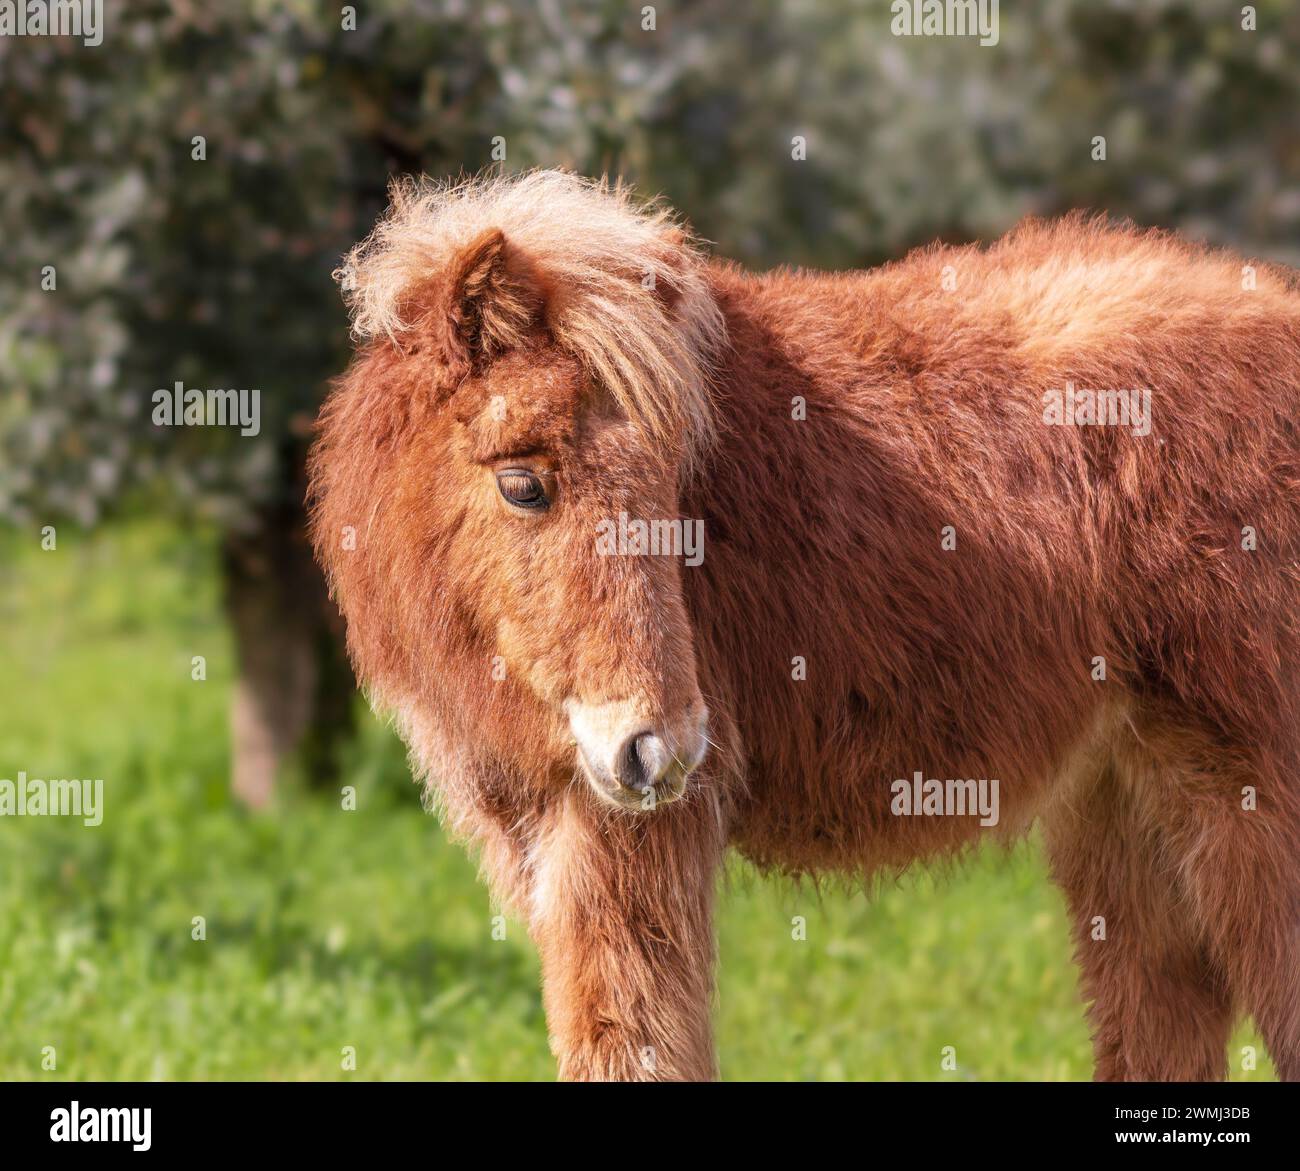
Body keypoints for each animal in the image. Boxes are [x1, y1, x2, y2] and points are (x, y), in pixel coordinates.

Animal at [308, 170, 1300, 1081]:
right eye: (523, 483)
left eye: (673, 491)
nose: (660, 750)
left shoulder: (630, 847)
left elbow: (635, 1047)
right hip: (1127, 807)